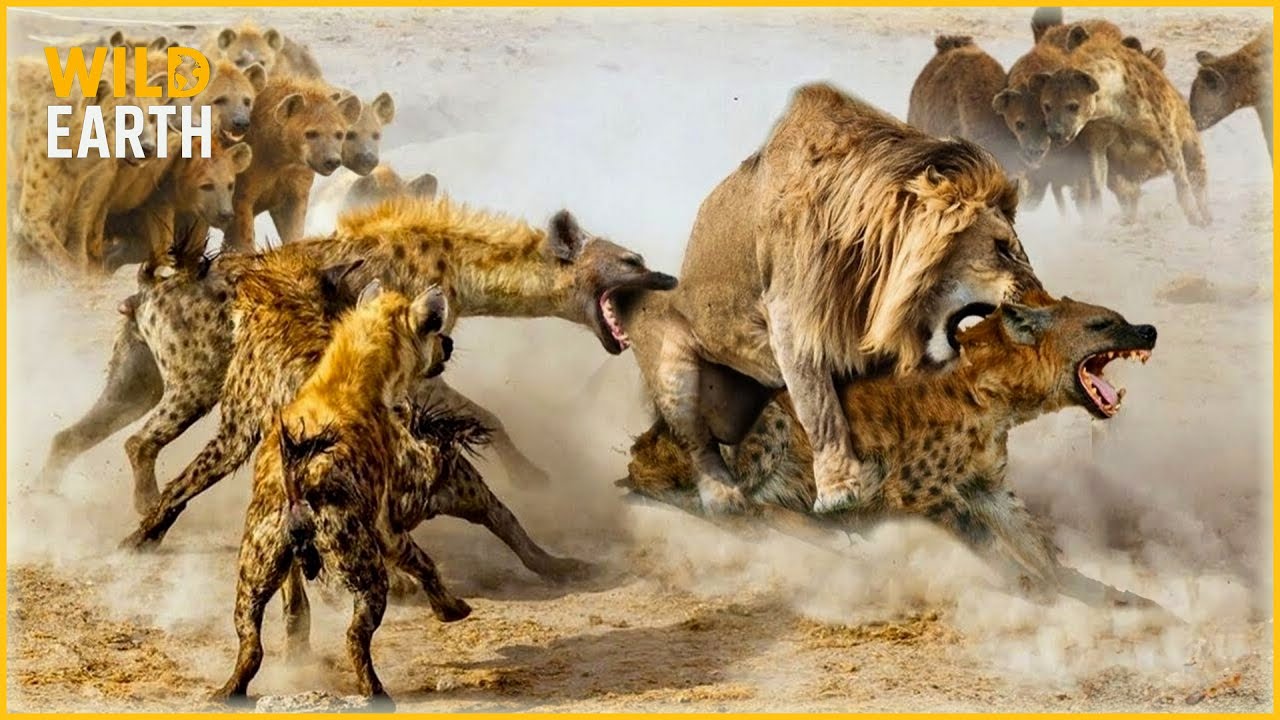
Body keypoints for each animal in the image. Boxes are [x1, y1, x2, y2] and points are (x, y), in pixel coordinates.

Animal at [629, 83, 1043, 515]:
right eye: (1002, 248)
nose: (1041, 298)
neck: (869, 262)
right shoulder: (790, 321)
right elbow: (821, 409)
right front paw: (839, 490)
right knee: (697, 442)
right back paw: (722, 496)